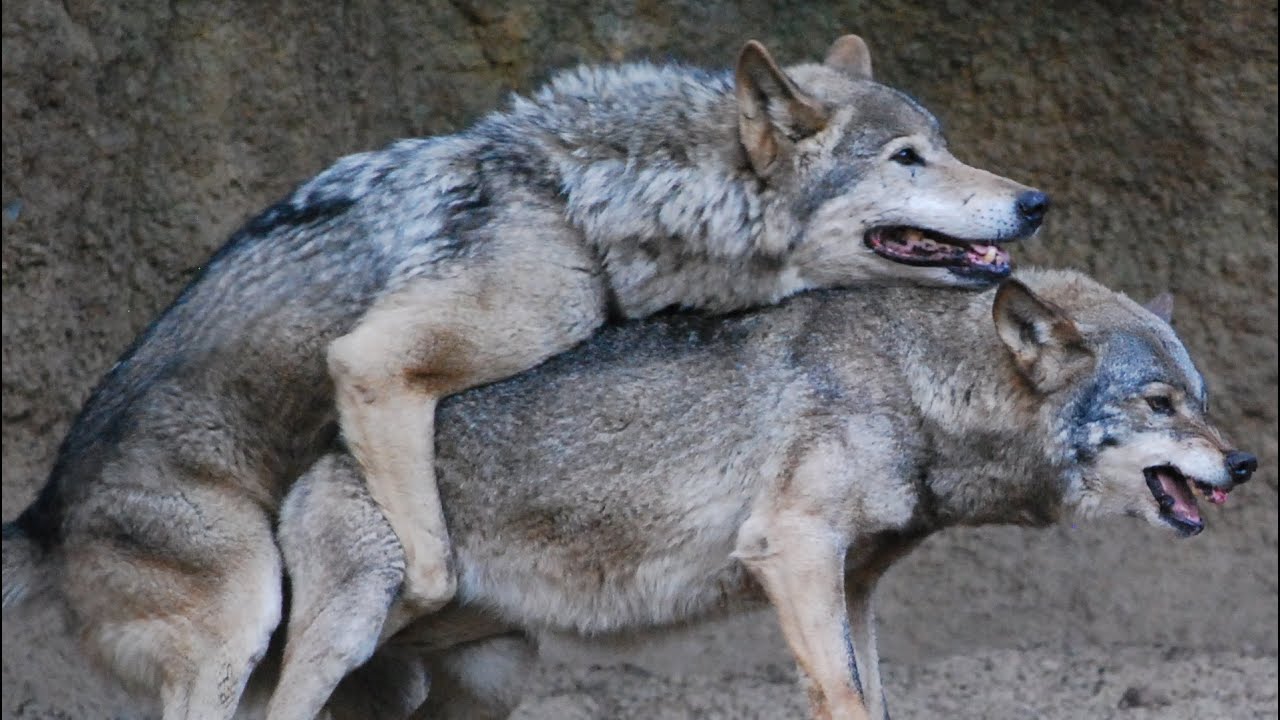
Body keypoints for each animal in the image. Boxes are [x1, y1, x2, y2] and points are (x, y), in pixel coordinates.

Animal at [1, 34, 1048, 719]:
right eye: (908, 158)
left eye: (944, 146)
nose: (1035, 200)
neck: (584, 209)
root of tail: (42, 519)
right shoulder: (374, 362)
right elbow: (428, 561)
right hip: (246, 610)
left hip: (489, 667)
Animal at [255, 270, 1255, 720]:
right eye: (1159, 404)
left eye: (1200, 400)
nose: (1244, 465)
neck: (910, 385)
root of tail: (316, 458)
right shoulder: (794, 551)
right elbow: (844, 699)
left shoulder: (855, 584)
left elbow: (874, 700)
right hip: (347, 638)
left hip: (491, 677)